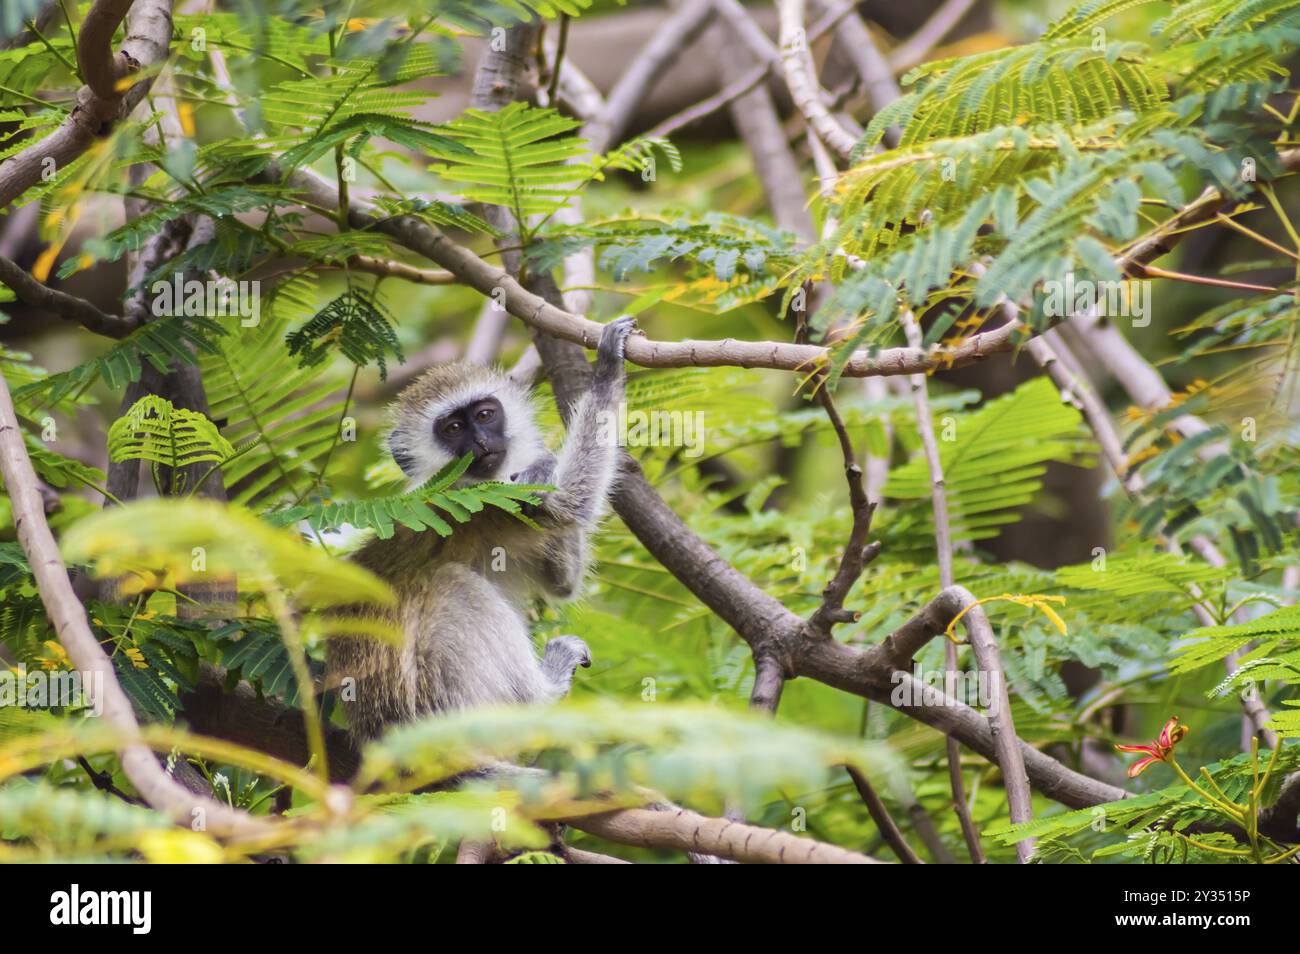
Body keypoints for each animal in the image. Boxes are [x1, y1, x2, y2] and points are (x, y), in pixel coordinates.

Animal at [326, 315, 637, 742]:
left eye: (486, 415)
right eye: (453, 428)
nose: (481, 441)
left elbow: (559, 582)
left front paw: (541, 465)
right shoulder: (474, 503)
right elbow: (570, 505)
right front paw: (606, 370)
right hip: (446, 695)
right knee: (455, 584)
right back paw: (543, 692)